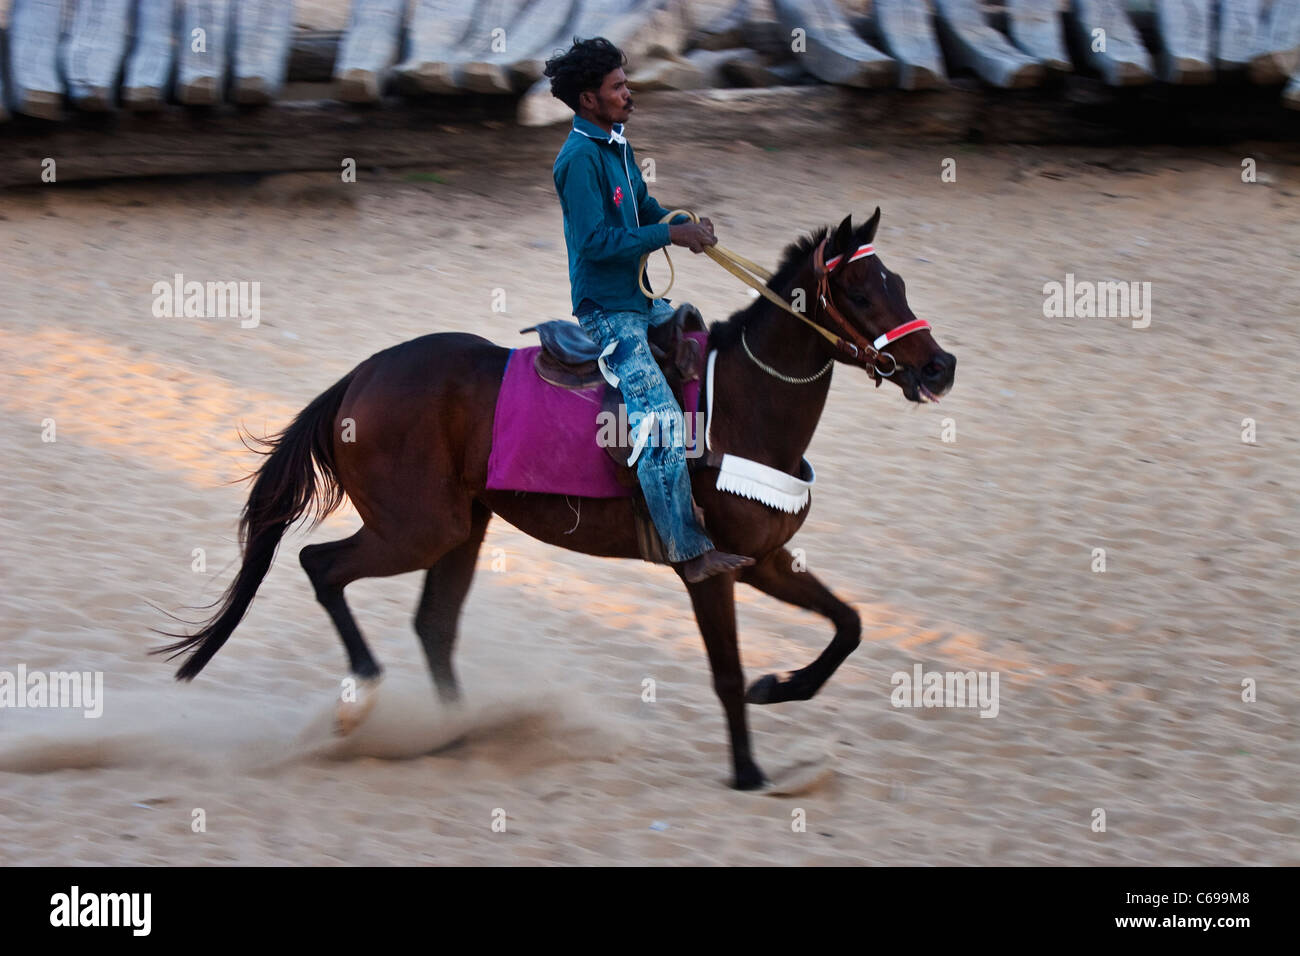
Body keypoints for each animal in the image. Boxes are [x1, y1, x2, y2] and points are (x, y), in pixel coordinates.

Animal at [157, 208, 956, 790]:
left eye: (899, 282)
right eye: (860, 291)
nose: (939, 367)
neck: (741, 401)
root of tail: (359, 379)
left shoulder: (764, 558)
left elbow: (848, 624)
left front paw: (781, 686)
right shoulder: (711, 569)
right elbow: (727, 673)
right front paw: (750, 770)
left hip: (463, 527)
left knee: (433, 625)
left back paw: (458, 731)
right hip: (418, 529)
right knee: (323, 568)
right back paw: (371, 698)